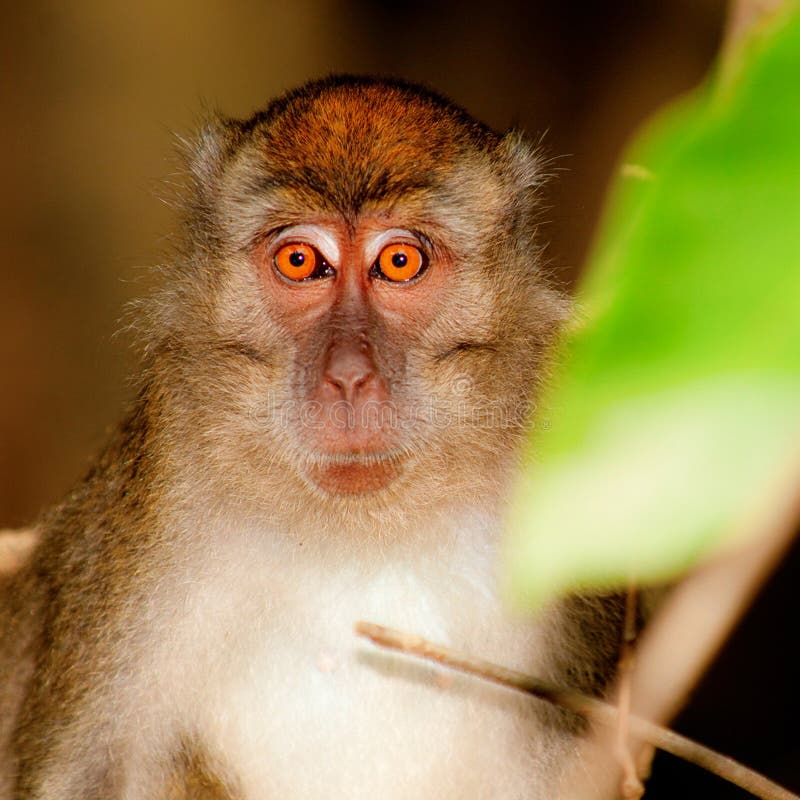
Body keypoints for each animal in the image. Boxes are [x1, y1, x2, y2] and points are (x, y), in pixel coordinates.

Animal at [0, 75, 629, 799]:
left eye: (400, 261)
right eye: (301, 261)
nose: (348, 375)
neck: (360, 529)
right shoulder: (156, 493)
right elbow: (85, 769)